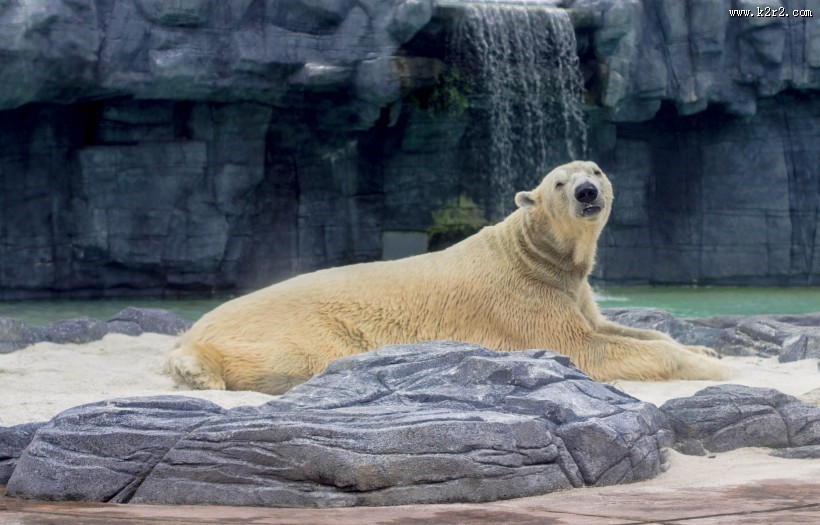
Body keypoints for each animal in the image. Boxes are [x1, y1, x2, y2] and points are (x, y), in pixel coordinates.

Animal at [165, 160, 725, 394]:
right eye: (558, 183)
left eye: (597, 171)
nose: (588, 192)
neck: (533, 254)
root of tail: (197, 326)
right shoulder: (524, 299)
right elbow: (586, 347)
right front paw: (710, 367)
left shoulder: (570, 289)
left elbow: (618, 329)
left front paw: (708, 349)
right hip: (298, 328)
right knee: (287, 358)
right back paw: (196, 371)